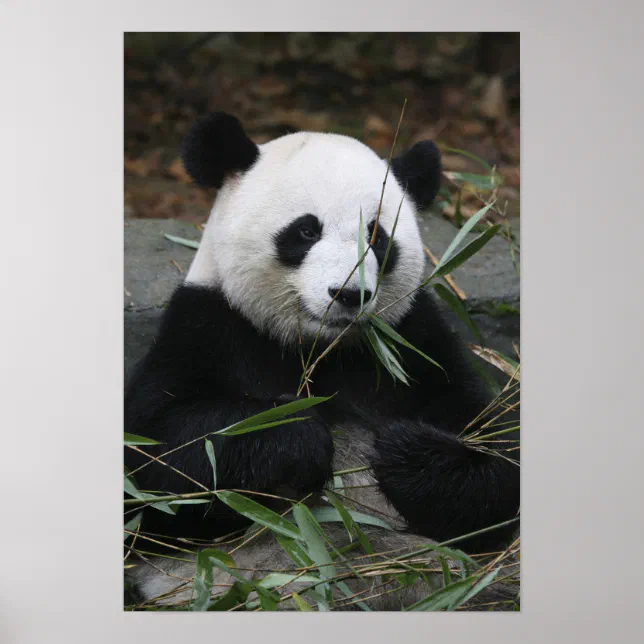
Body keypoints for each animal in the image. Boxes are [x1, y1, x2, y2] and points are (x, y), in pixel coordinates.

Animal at [124, 112, 520, 610]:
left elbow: (497, 456)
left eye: (376, 236)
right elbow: (156, 466)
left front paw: (402, 451)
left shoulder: (414, 343)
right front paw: (297, 436)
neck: (317, 348)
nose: (348, 294)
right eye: (306, 231)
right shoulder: (206, 327)